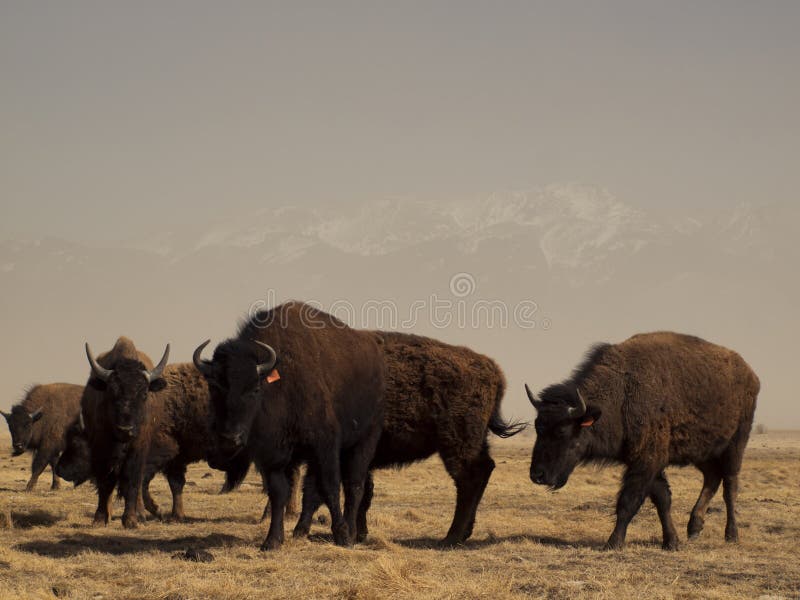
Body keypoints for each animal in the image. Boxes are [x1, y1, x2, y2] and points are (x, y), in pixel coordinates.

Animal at [193, 301, 385, 550]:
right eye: (214, 387)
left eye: (255, 389)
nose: (230, 439)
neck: (281, 383)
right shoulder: (271, 456)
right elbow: (279, 493)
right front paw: (272, 540)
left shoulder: (325, 445)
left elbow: (331, 487)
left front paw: (342, 536)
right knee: (314, 489)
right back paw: (301, 530)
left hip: (364, 440)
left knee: (354, 485)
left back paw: (351, 532)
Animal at [294, 331, 525, 546]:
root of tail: (492, 370)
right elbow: (353, 492)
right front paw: (357, 534)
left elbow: (319, 490)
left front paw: (300, 532)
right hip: (476, 442)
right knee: (485, 469)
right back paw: (462, 533)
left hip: (456, 443)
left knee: (469, 478)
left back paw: (451, 537)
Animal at [527, 331, 759, 550]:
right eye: (538, 427)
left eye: (562, 431)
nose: (538, 475)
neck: (622, 394)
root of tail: (751, 375)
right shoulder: (648, 464)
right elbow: (662, 499)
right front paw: (671, 542)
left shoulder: (646, 462)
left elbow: (628, 502)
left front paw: (613, 543)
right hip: (703, 453)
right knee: (712, 479)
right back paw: (694, 528)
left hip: (734, 446)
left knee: (730, 487)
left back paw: (731, 535)